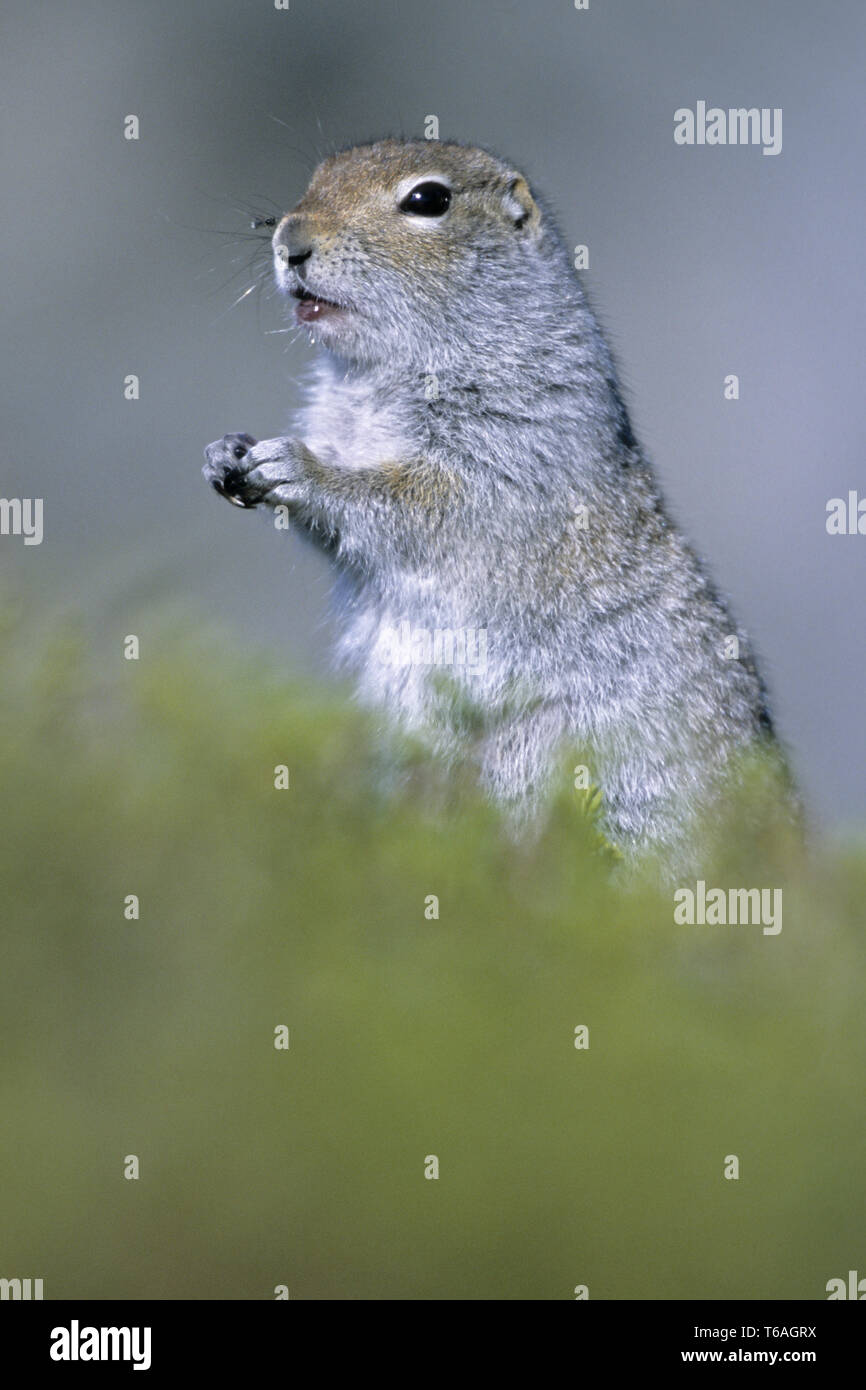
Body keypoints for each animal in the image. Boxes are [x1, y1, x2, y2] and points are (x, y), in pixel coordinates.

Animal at [203, 138, 797, 870]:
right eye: (315, 177)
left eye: (428, 199)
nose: (290, 240)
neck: (376, 375)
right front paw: (226, 451)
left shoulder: (504, 456)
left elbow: (406, 502)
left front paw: (298, 467)